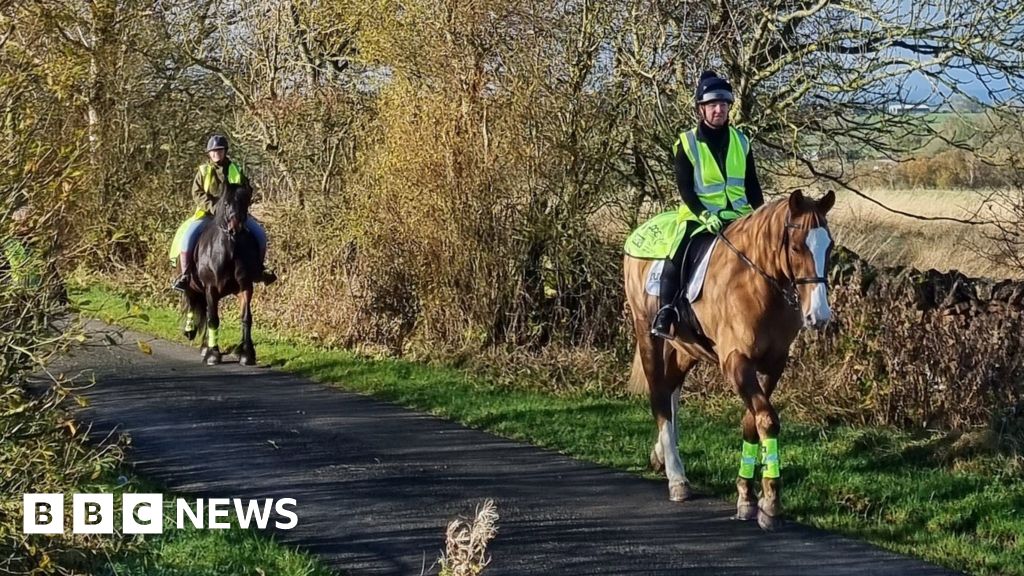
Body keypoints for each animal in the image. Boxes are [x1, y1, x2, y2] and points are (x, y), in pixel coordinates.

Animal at [180, 181, 263, 366]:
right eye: (225, 204)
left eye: (245, 203)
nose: (235, 229)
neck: (229, 250)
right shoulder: (210, 288)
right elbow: (213, 319)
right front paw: (213, 355)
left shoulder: (245, 287)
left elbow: (246, 318)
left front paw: (247, 354)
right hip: (191, 286)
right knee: (192, 302)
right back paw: (190, 332)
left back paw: (205, 345)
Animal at [622, 188, 835, 531]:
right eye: (796, 246)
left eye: (828, 246)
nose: (820, 316)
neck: (757, 284)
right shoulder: (736, 362)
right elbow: (767, 420)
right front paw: (770, 502)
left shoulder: (772, 365)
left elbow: (752, 421)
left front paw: (748, 497)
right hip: (647, 334)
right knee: (660, 396)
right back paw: (676, 478)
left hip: (687, 347)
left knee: (671, 389)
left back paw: (661, 456)